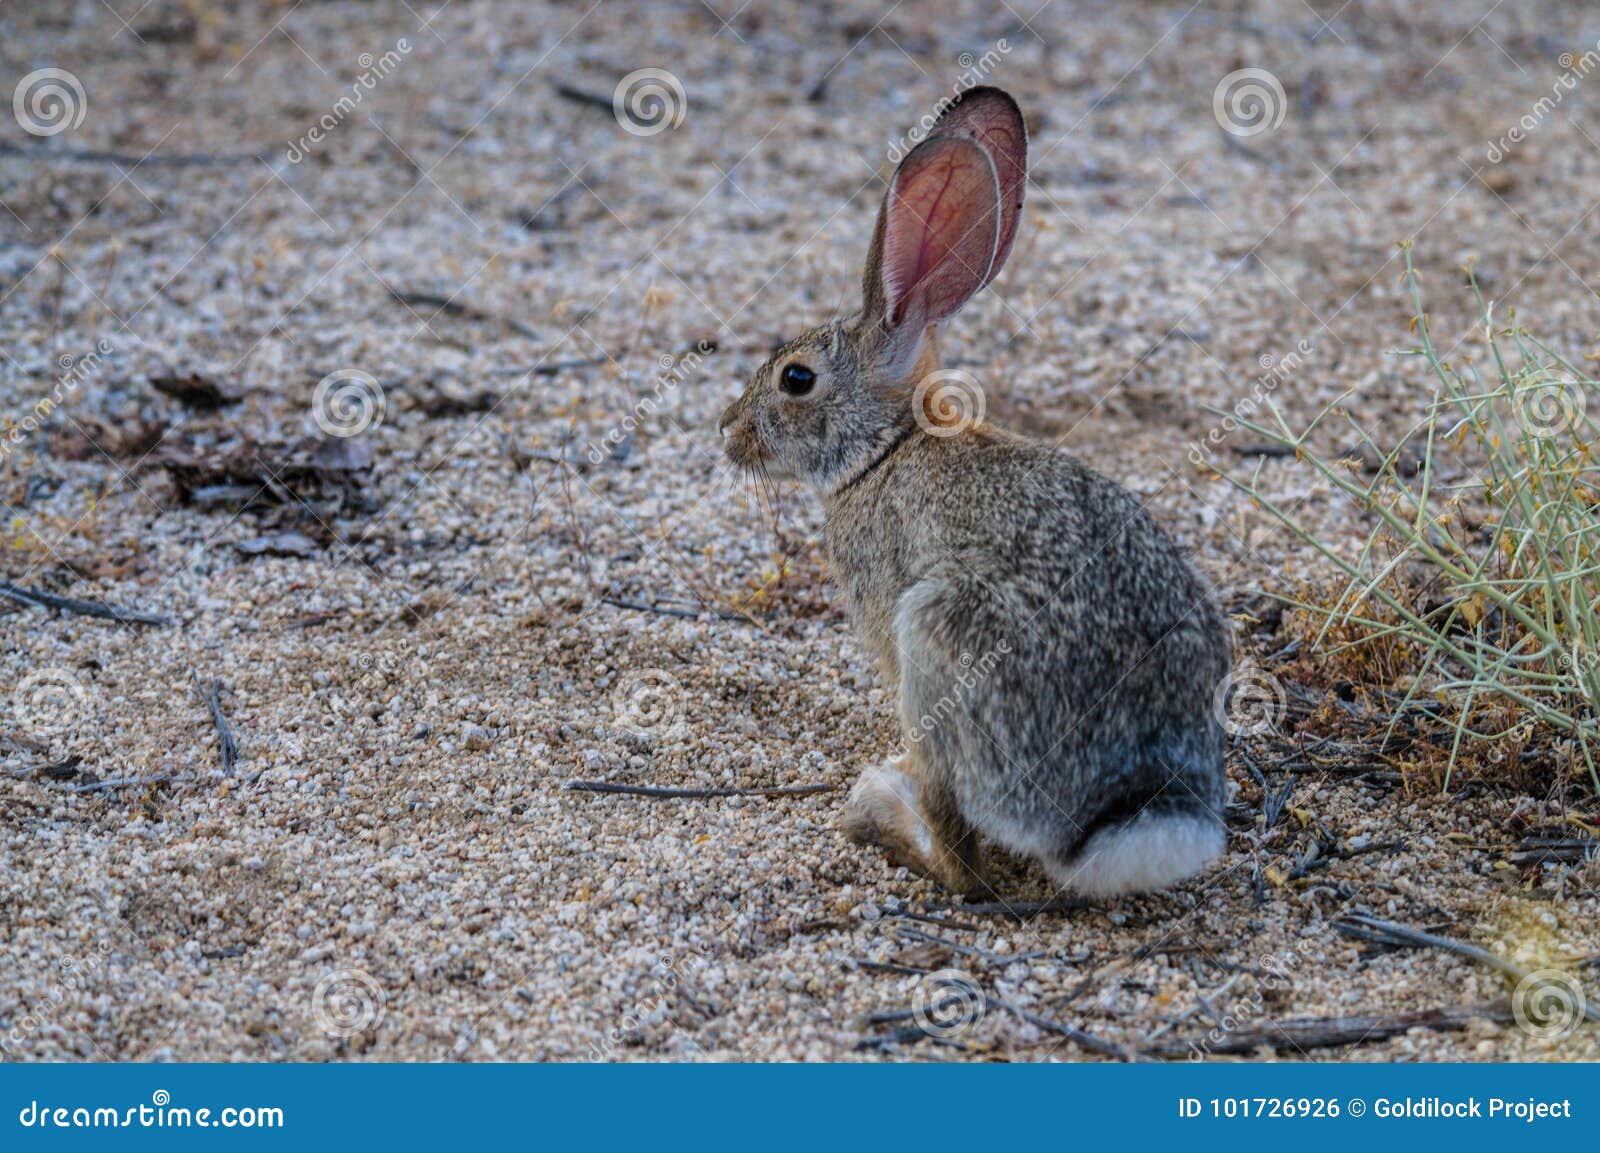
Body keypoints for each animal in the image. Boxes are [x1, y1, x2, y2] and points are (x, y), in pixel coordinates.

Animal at [718, 87, 1231, 899]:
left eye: (796, 379)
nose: (728, 432)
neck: (888, 447)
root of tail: (1124, 815)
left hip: (937, 646)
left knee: (964, 865)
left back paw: (882, 813)